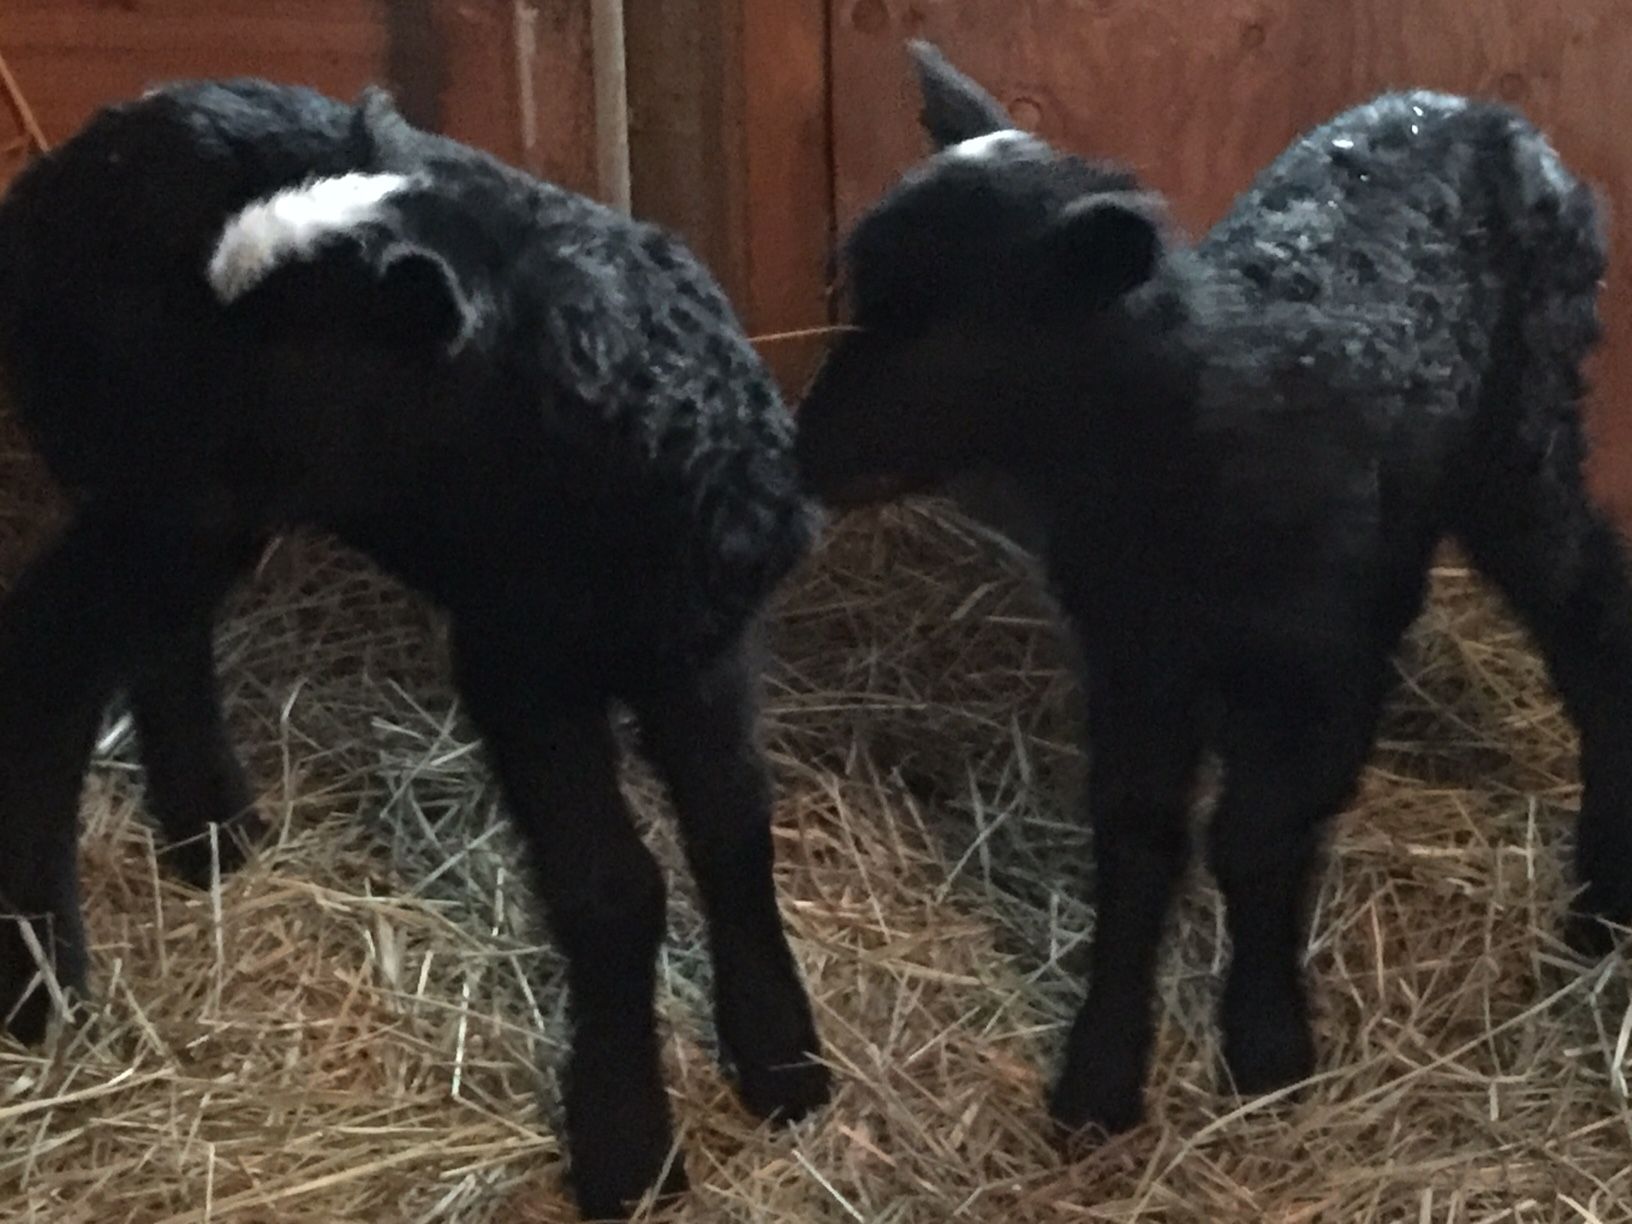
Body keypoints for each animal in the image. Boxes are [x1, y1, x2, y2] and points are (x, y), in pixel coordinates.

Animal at [0, 79, 829, 1219]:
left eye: (284, 341)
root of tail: (50, 177)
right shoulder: (520, 665)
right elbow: (612, 889)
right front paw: (626, 1142)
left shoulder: (704, 649)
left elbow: (735, 829)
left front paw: (782, 1056)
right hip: (161, 494)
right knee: (47, 659)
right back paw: (39, 980)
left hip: (198, 507)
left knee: (153, 635)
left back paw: (208, 832)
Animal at [796, 41, 1632, 1139]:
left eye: (944, 325)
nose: (802, 447)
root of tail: (1484, 111)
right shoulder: (1133, 659)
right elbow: (1137, 841)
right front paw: (1103, 1071)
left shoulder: (1316, 667)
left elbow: (1253, 838)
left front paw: (1267, 1041)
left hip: (1521, 425)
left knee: (1590, 605)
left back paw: (1601, 895)